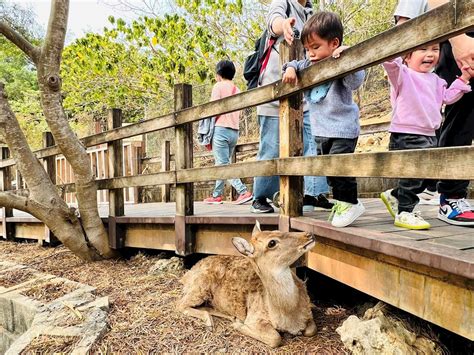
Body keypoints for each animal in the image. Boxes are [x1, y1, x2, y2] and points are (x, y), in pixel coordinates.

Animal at [176, 221, 316, 350]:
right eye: (272, 243)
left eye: (277, 230)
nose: (308, 234)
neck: (289, 315)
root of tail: (186, 276)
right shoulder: (255, 316)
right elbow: (275, 338)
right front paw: (238, 325)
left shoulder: (309, 314)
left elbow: (311, 330)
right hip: (200, 286)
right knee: (180, 304)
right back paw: (215, 323)